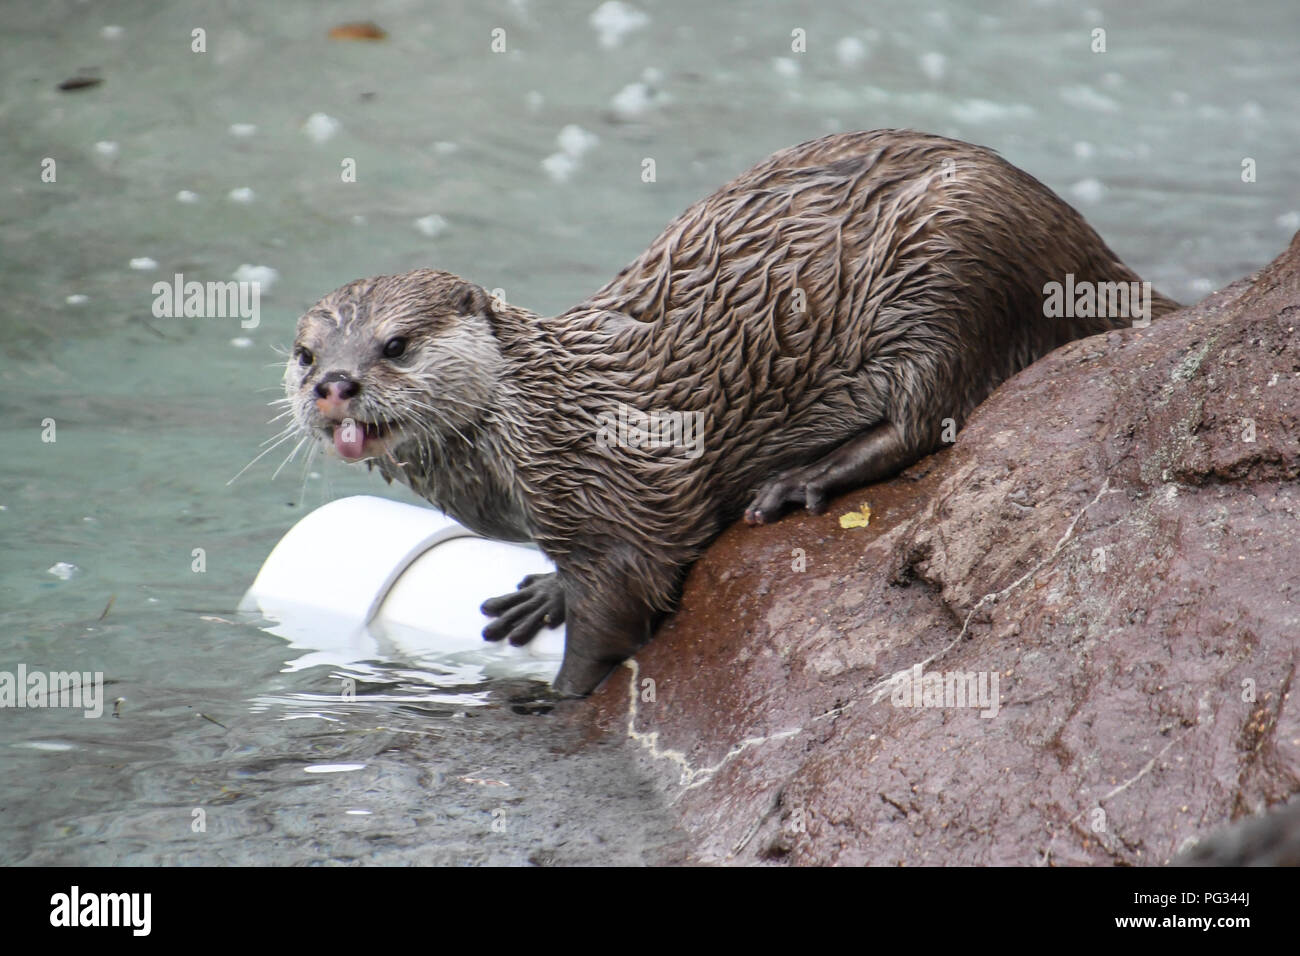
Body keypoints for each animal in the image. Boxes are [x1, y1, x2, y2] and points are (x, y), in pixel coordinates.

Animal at [284, 129, 1178, 696]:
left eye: (396, 346)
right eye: (304, 354)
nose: (336, 385)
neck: (537, 425)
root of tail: (1089, 252)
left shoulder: (613, 502)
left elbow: (618, 610)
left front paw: (559, 696)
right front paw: (542, 594)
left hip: (953, 263)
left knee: (930, 415)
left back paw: (799, 480)